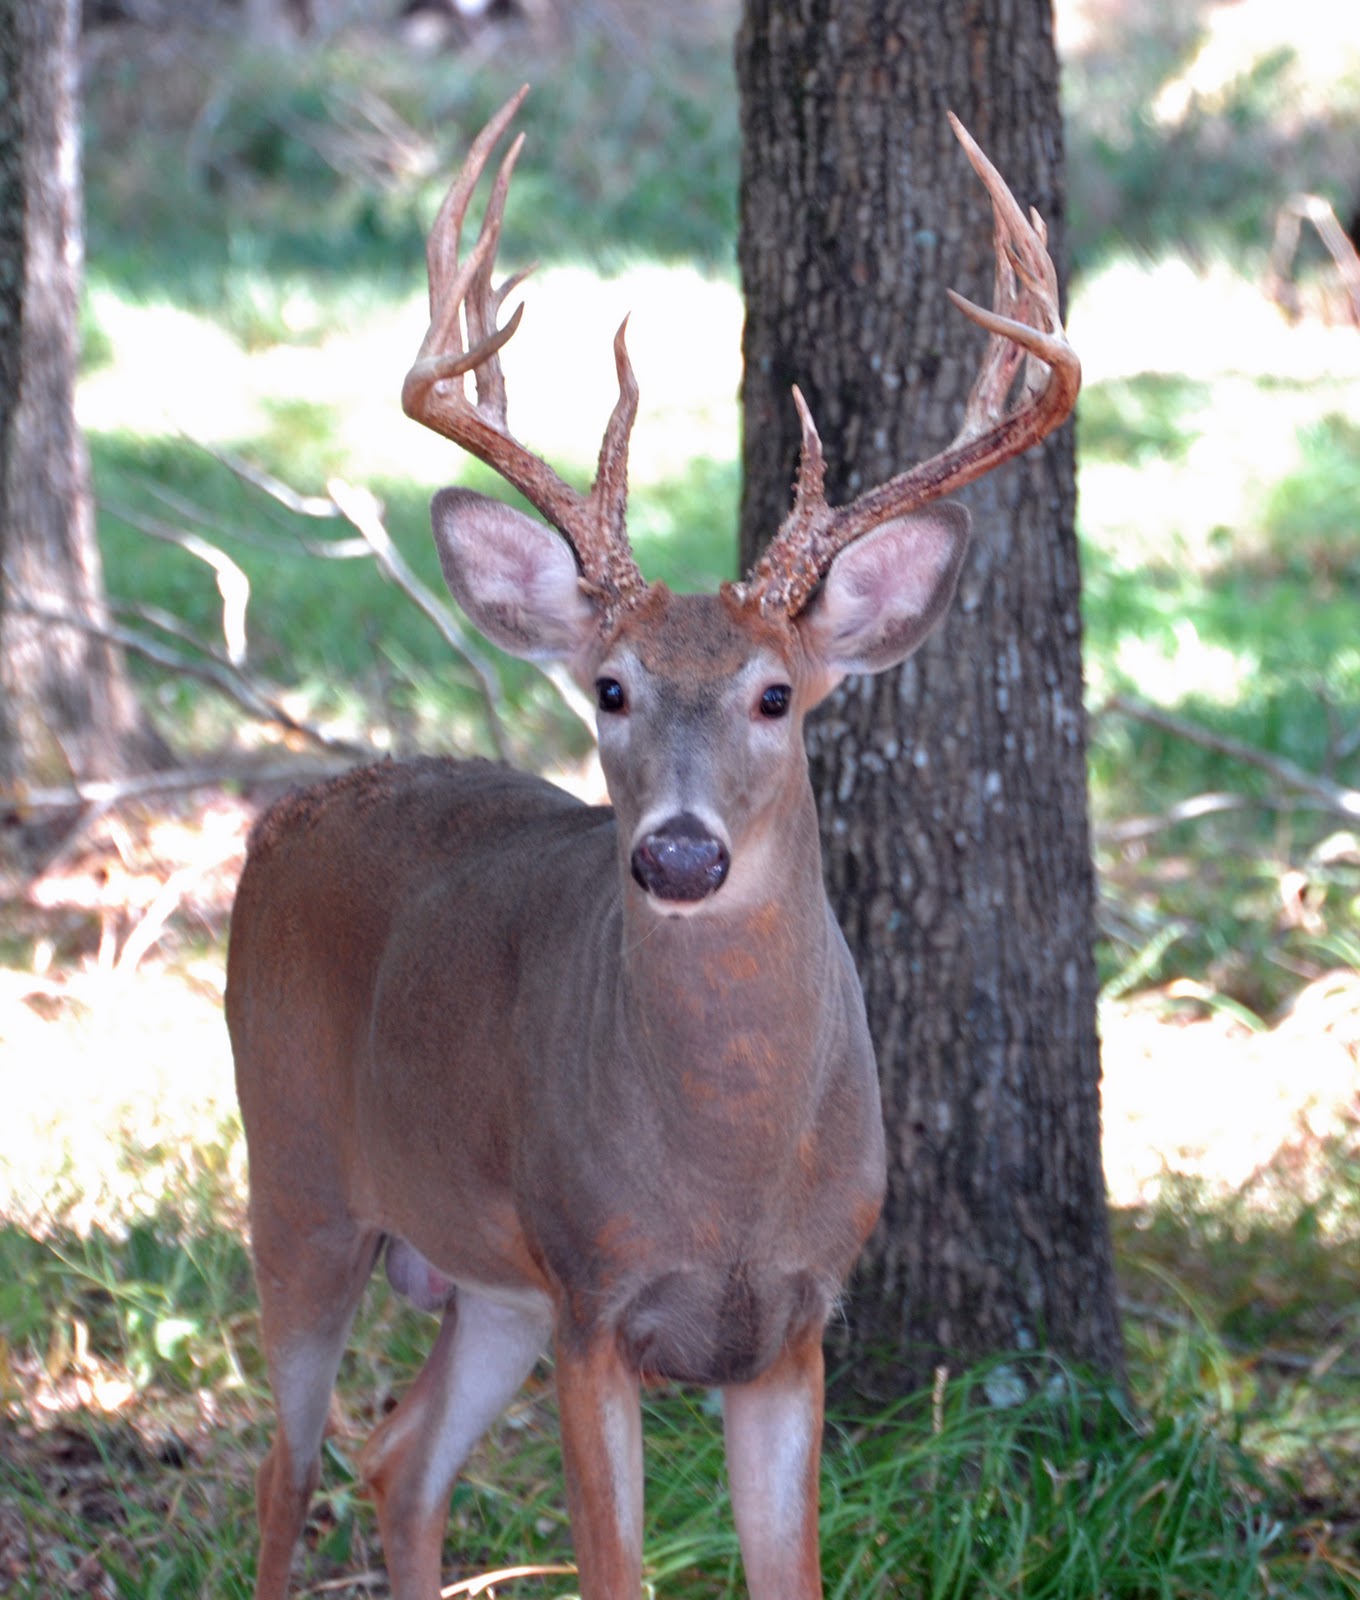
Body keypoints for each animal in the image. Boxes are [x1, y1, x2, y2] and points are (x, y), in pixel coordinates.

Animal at [226, 86, 1079, 1600]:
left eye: (777, 694)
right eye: (610, 690)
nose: (679, 857)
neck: (726, 1172)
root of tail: (285, 814)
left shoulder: (791, 1326)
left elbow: (789, 1574)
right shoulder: (592, 1299)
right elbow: (613, 1567)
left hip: (487, 1281)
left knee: (397, 1460)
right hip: (302, 1182)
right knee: (288, 1470)